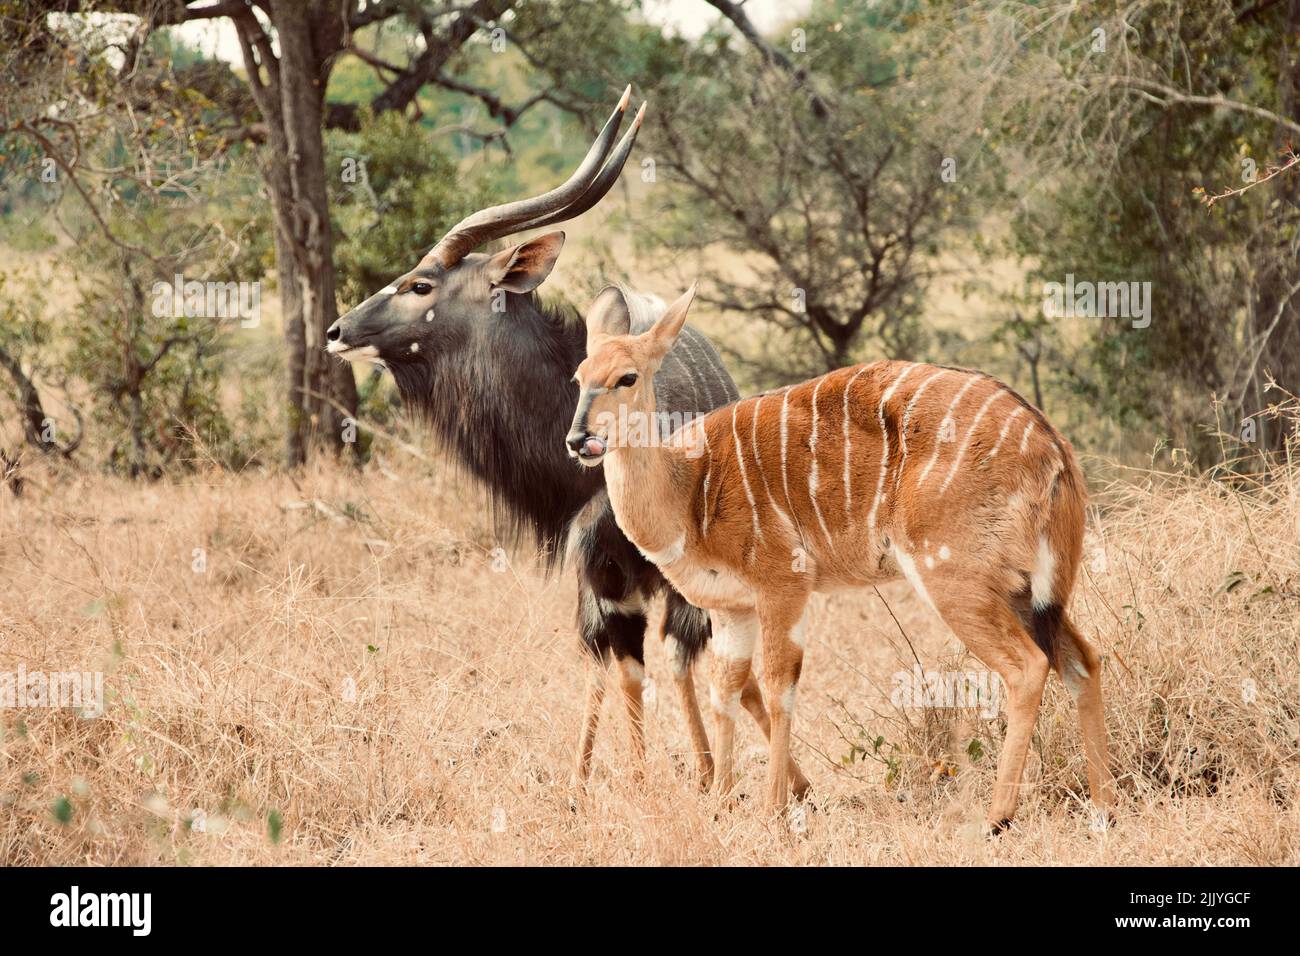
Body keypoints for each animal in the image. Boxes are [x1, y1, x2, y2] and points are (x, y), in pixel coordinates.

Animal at [325, 90, 809, 796]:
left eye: (420, 284)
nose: (337, 331)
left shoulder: (661, 565)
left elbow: (670, 657)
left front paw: (694, 776)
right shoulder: (596, 570)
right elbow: (610, 661)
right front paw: (594, 782)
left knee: (703, 653)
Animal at [565, 284, 1115, 829]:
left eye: (627, 377)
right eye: (578, 378)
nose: (578, 440)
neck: (690, 488)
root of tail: (1053, 447)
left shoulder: (783, 586)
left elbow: (779, 685)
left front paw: (773, 808)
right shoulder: (730, 607)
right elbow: (727, 689)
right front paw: (721, 801)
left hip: (957, 581)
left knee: (1028, 667)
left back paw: (997, 817)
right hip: (1028, 591)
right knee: (1083, 660)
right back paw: (1103, 807)